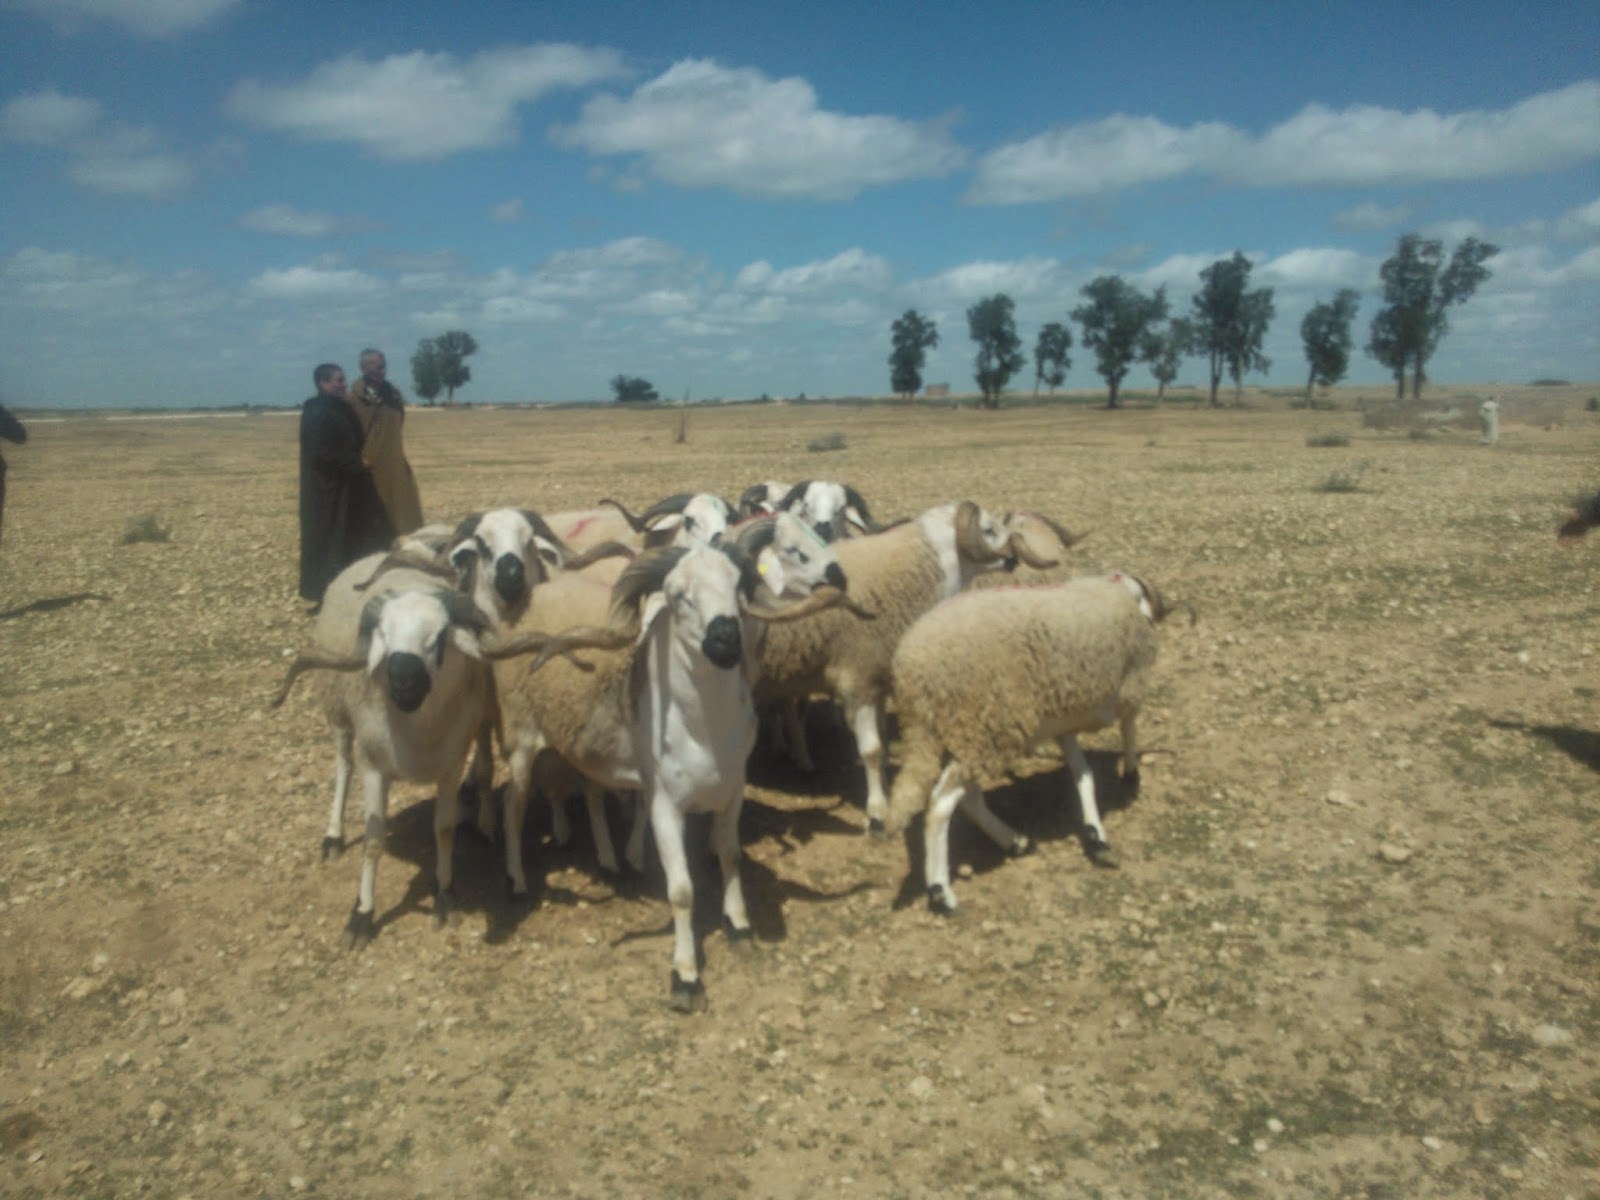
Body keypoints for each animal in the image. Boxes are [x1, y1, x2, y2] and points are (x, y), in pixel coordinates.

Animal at [269, 564, 556, 948]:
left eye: (439, 637)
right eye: (383, 634)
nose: (402, 679)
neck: (418, 732)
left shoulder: (451, 765)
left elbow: (444, 829)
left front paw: (445, 896)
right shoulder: (374, 766)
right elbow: (373, 839)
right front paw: (361, 916)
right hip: (337, 709)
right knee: (343, 765)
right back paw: (333, 836)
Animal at [491, 542, 851, 1010]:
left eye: (737, 585)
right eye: (678, 595)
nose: (725, 638)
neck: (703, 731)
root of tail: (536, 596)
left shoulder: (732, 792)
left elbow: (731, 856)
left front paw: (739, 926)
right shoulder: (665, 807)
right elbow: (681, 891)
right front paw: (685, 976)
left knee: (590, 793)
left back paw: (610, 860)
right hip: (519, 739)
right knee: (512, 809)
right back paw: (515, 881)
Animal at [752, 501, 1070, 832]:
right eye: (988, 530)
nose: (1014, 558)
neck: (911, 577)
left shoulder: (877, 681)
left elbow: (880, 740)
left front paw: (885, 791)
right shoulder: (857, 679)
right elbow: (872, 751)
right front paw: (877, 810)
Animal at [883, 571, 1189, 915]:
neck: (1123, 593)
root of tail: (912, 673)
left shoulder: (1063, 723)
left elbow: (1083, 775)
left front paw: (1095, 835)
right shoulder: (1128, 690)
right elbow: (1130, 729)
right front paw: (1131, 774)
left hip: (963, 737)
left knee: (968, 799)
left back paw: (1014, 840)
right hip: (983, 729)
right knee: (939, 805)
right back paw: (941, 892)